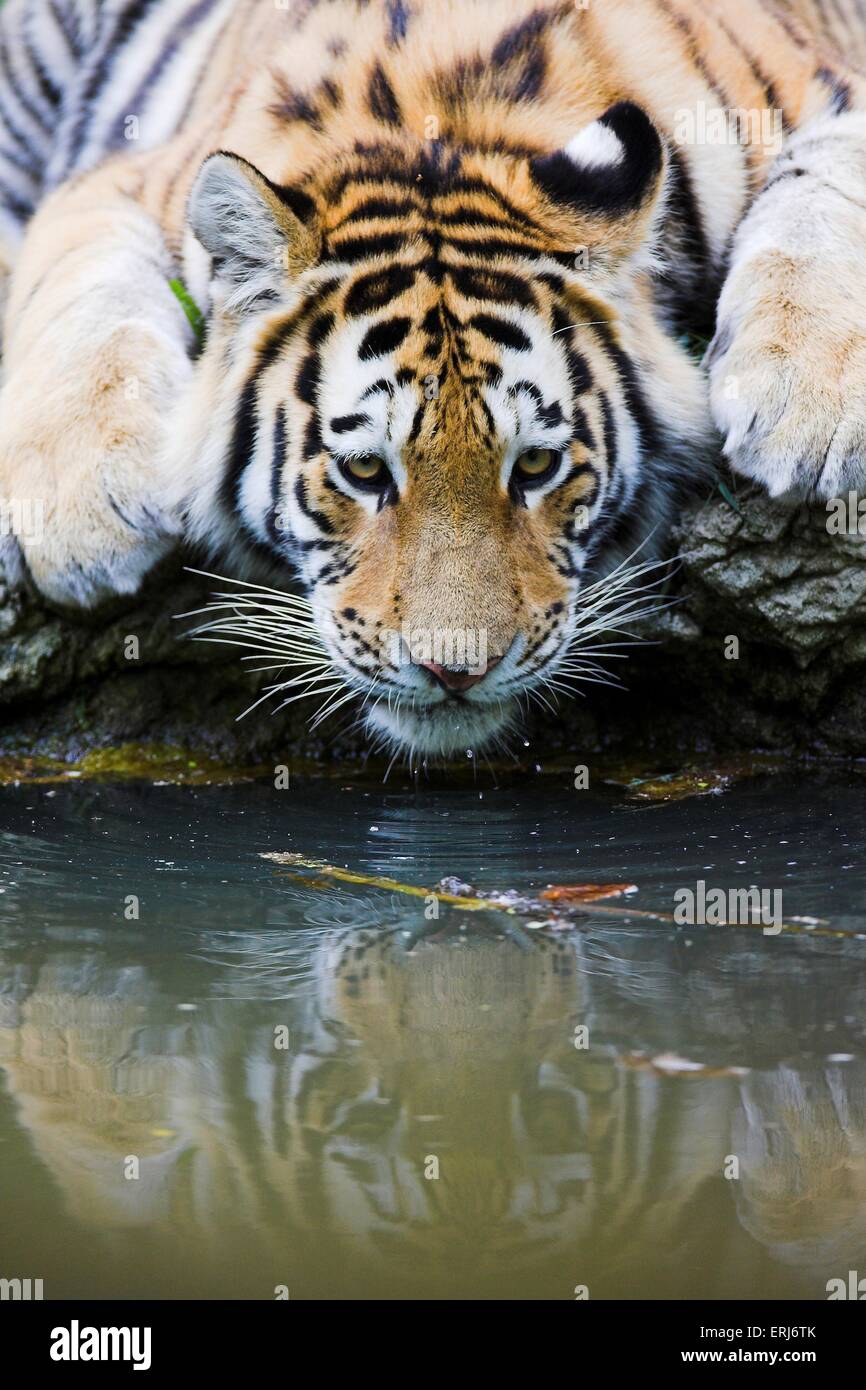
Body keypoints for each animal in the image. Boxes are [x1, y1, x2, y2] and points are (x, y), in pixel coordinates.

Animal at [0, 0, 865, 758]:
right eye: (363, 472)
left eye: (536, 465)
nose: (457, 674)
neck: (437, 122)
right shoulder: (121, 182)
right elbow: (78, 284)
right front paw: (80, 517)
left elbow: (831, 182)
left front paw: (811, 407)